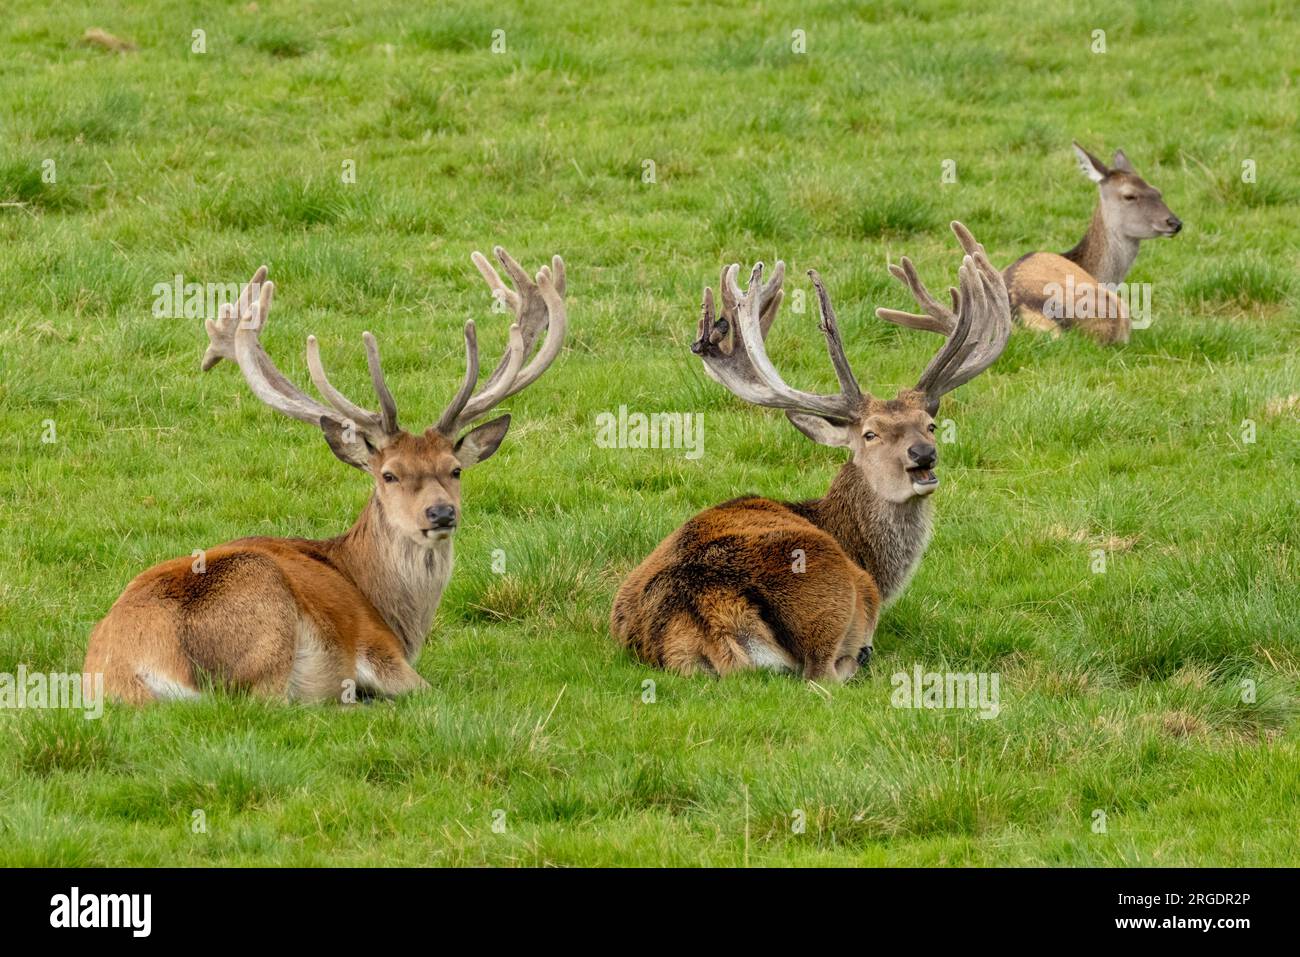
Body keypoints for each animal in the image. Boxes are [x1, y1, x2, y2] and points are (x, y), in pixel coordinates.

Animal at [84, 247, 566, 704]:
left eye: (456, 469)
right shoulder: (377, 646)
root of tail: (129, 669)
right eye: (388, 475)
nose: (441, 512)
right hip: (263, 610)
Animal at [610, 223, 1010, 682]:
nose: (923, 454)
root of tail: (705, 611)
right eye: (870, 434)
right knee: (822, 673)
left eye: (930, 425)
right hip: (832, 594)